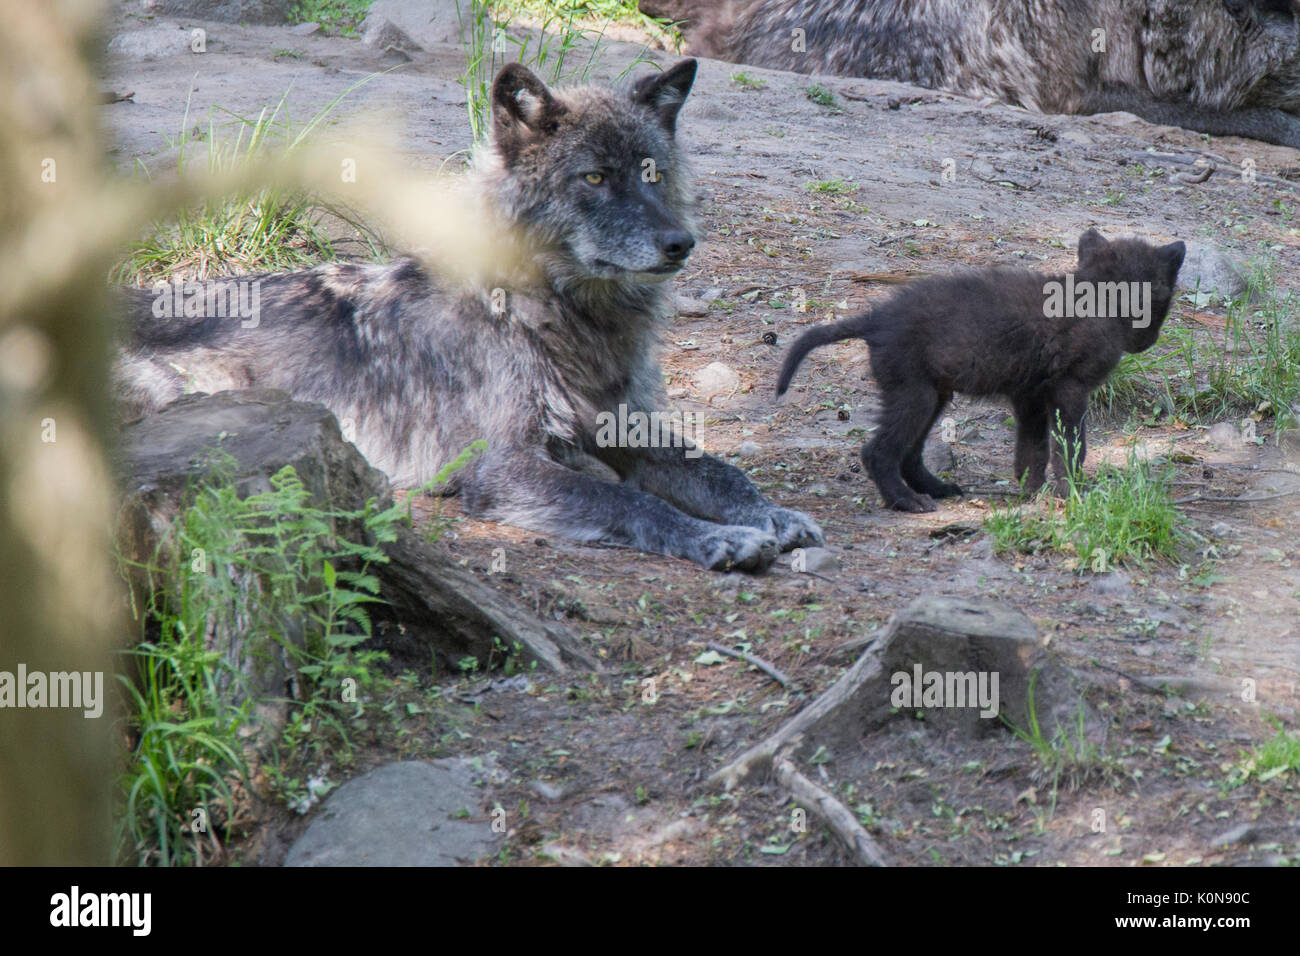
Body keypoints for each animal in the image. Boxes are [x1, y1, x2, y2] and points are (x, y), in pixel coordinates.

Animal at [116, 59, 823, 572]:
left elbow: (717, 468)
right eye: (595, 178)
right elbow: (625, 499)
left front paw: (772, 514)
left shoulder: (625, 425)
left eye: (652, 172)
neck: (566, 318)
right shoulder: (502, 465)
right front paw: (715, 539)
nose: (680, 243)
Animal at [775, 229, 1186, 512]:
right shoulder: (1070, 390)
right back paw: (907, 502)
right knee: (878, 451)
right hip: (915, 394)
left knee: (909, 453)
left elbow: (1032, 448)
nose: (1149, 341)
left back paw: (937, 488)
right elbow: (1072, 447)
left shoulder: (1030, 395)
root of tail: (877, 319)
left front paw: (1030, 491)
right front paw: (1072, 492)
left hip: (935, 394)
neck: (1100, 298)